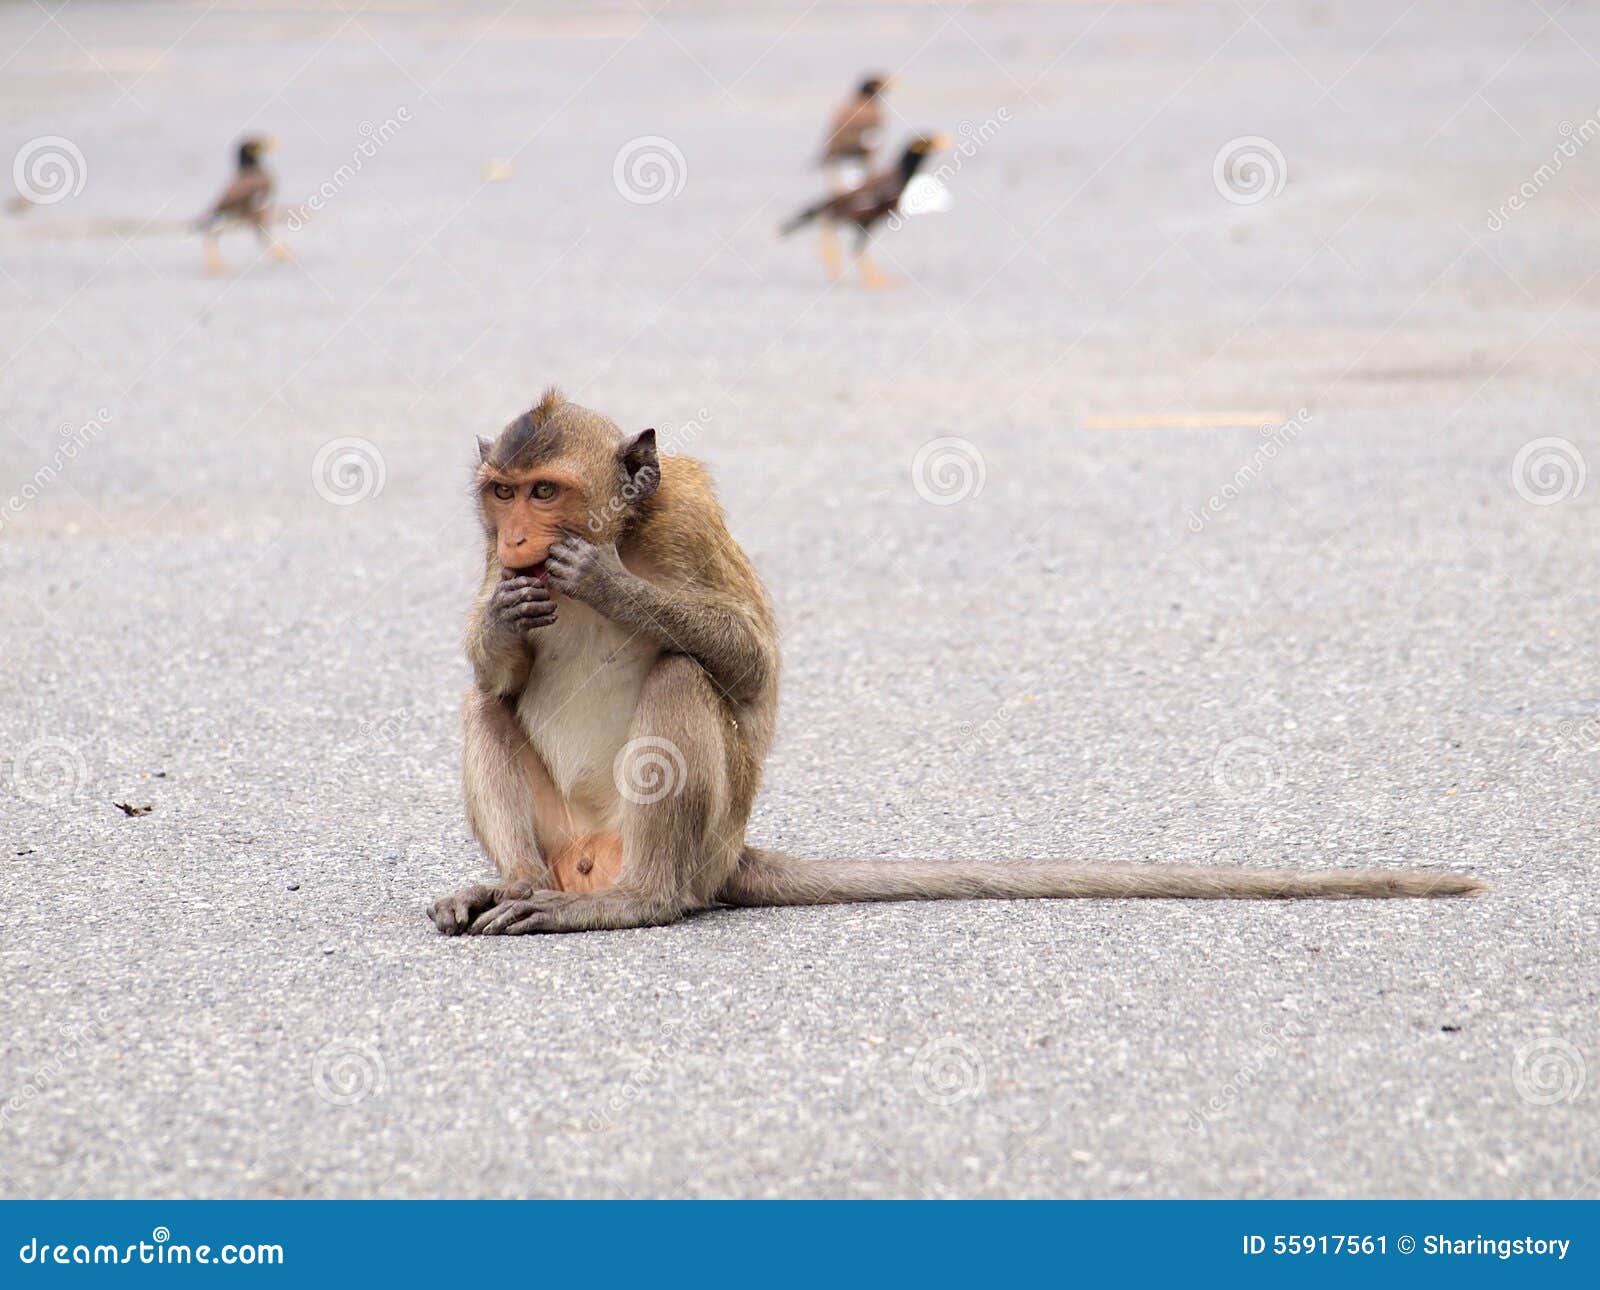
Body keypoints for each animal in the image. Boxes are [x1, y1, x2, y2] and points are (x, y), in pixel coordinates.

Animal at [428, 390, 1482, 937]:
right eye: (501, 494)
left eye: (546, 492)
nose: (518, 540)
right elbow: (495, 674)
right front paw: (505, 616)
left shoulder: (685, 517)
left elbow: (750, 669)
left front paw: (605, 579)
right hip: (567, 845)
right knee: (483, 707)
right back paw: (509, 884)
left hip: (695, 841)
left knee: (682, 681)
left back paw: (638, 903)